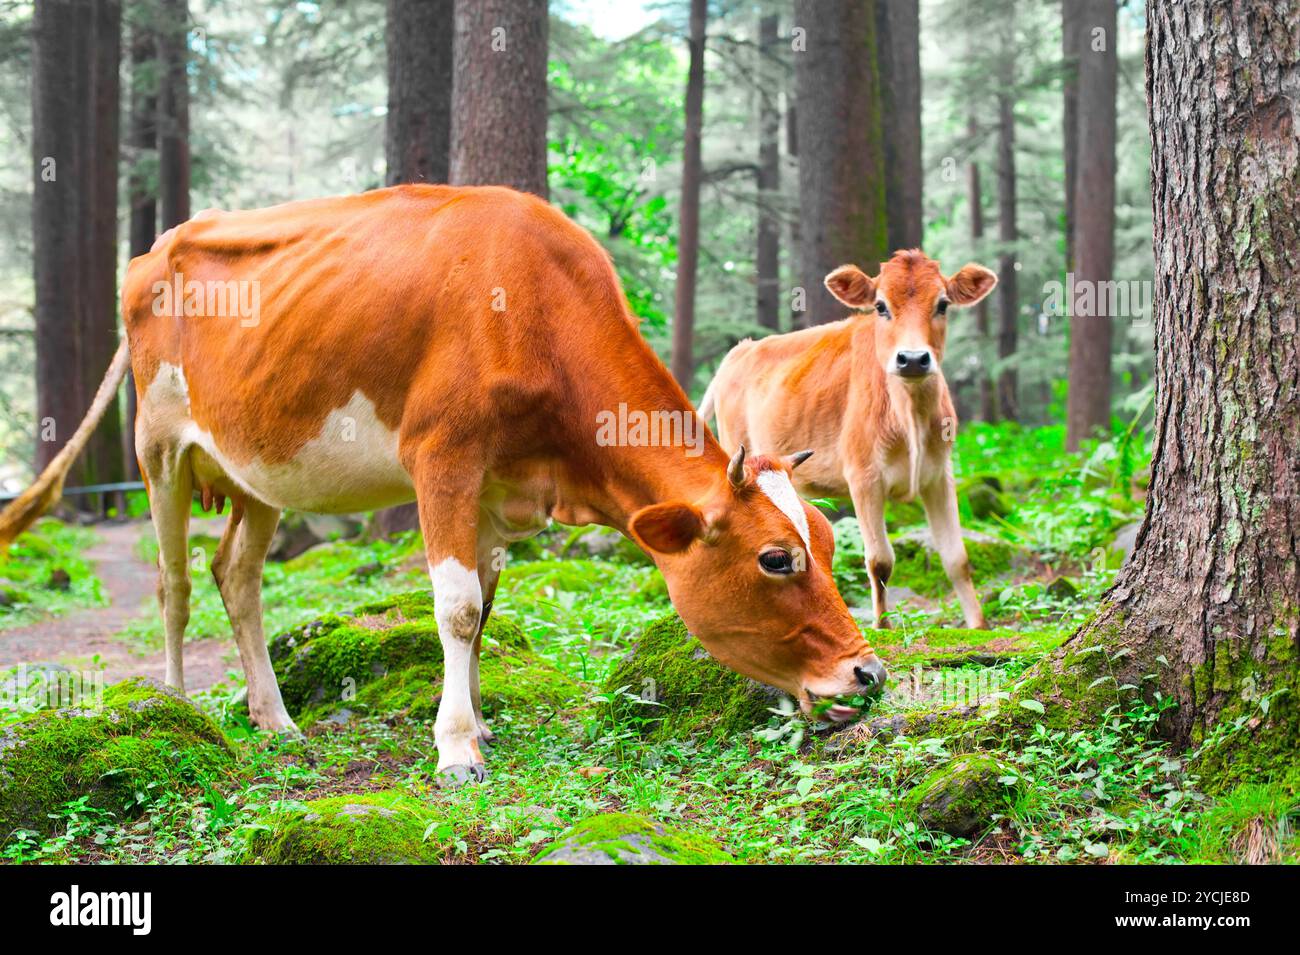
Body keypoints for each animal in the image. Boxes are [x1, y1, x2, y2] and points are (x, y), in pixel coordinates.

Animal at [0, 184, 887, 785]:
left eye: (827, 539)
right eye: (775, 558)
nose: (869, 674)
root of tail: (159, 244)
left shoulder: (497, 490)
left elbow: (486, 607)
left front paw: (481, 725)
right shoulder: (443, 459)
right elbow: (456, 607)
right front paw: (456, 746)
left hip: (258, 465)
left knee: (237, 575)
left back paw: (275, 718)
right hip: (158, 445)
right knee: (174, 581)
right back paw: (181, 707)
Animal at [699, 250, 998, 632]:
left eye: (943, 304)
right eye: (881, 306)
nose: (913, 359)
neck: (909, 414)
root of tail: (740, 350)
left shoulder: (939, 474)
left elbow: (956, 557)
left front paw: (979, 626)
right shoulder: (863, 475)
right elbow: (880, 560)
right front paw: (882, 627)